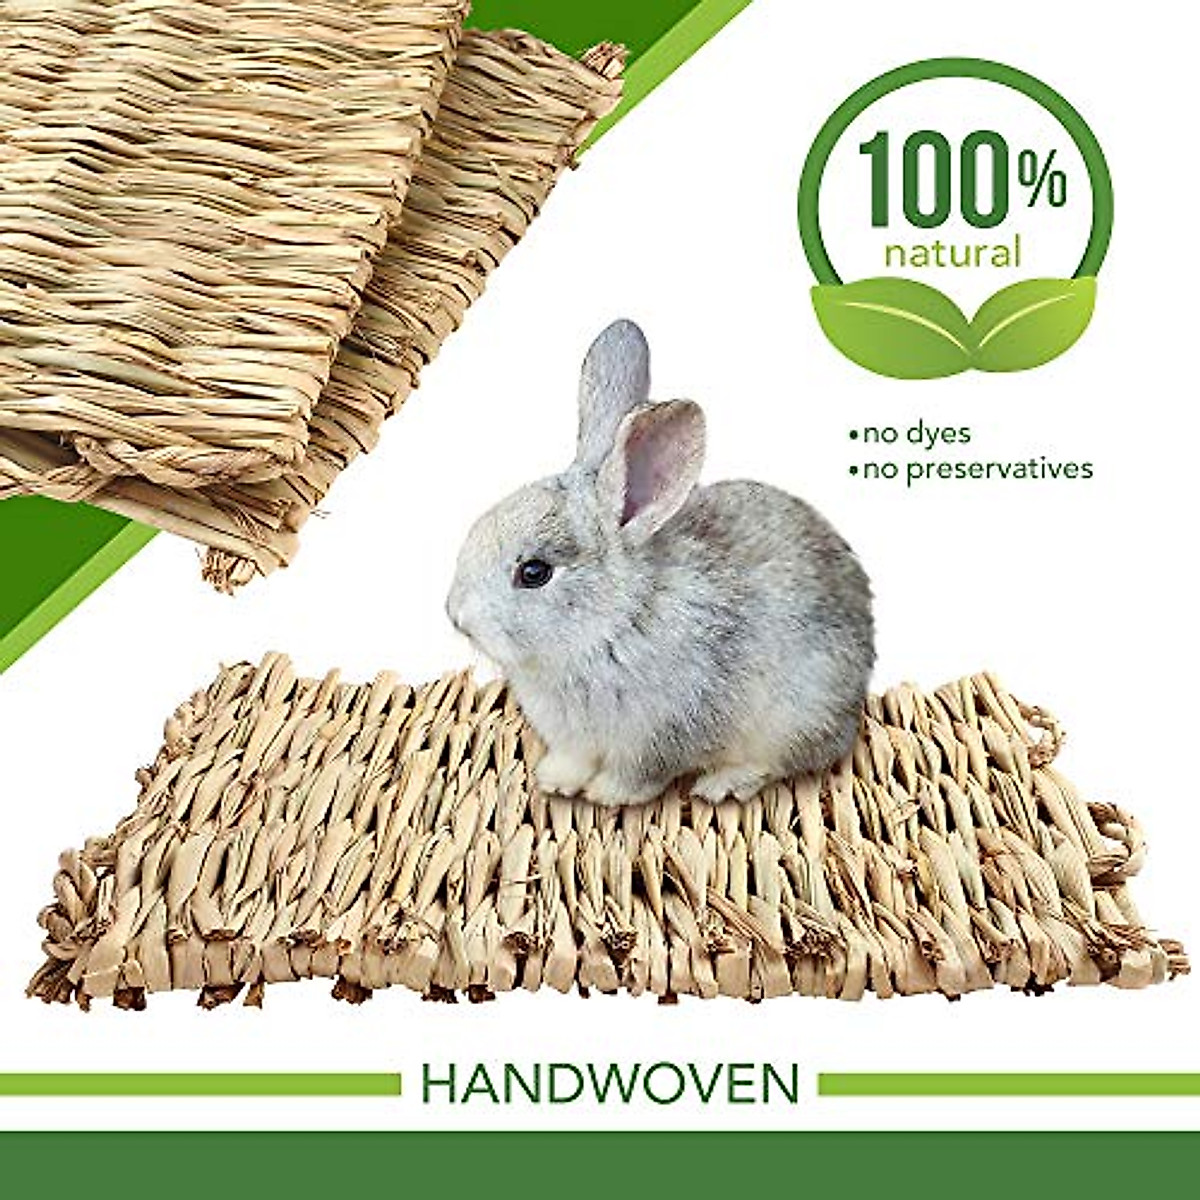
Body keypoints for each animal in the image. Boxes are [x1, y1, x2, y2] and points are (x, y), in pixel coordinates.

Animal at [446, 319, 875, 807]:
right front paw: (555, 780)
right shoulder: (576, 738)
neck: (613, 622)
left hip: (797, 715)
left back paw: (723, 784)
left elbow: (640, 774)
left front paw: (607, 795)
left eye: (534, 572)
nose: (456, 617)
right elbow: (574, 758)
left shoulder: (663, 733)